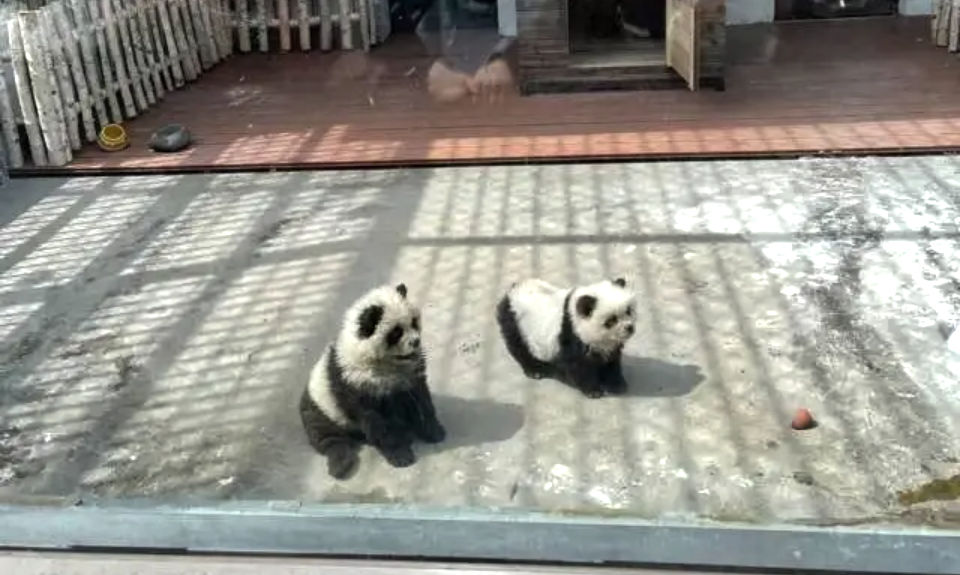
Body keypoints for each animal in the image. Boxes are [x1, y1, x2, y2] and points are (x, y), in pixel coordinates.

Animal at [299, 283, 446, 480]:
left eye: (414, 322)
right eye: (396, 332)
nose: (415, 342)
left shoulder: (411, 375)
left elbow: (421, 399)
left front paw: (433, 431)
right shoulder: (355, 383)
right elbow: (375, 421)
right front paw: (400, 455)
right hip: (320, 409)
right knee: (327, 438)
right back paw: (340, 464)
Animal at [496, 278, 636, 398]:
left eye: (628, 311)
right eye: (611, 320)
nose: (629, 328)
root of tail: (513, 289)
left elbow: (611, 361)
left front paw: (617, 385)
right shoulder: (571, 336)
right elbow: (577, 365)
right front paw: (593, 391)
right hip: (516, 323)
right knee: (520, 348)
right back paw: (535, 371)